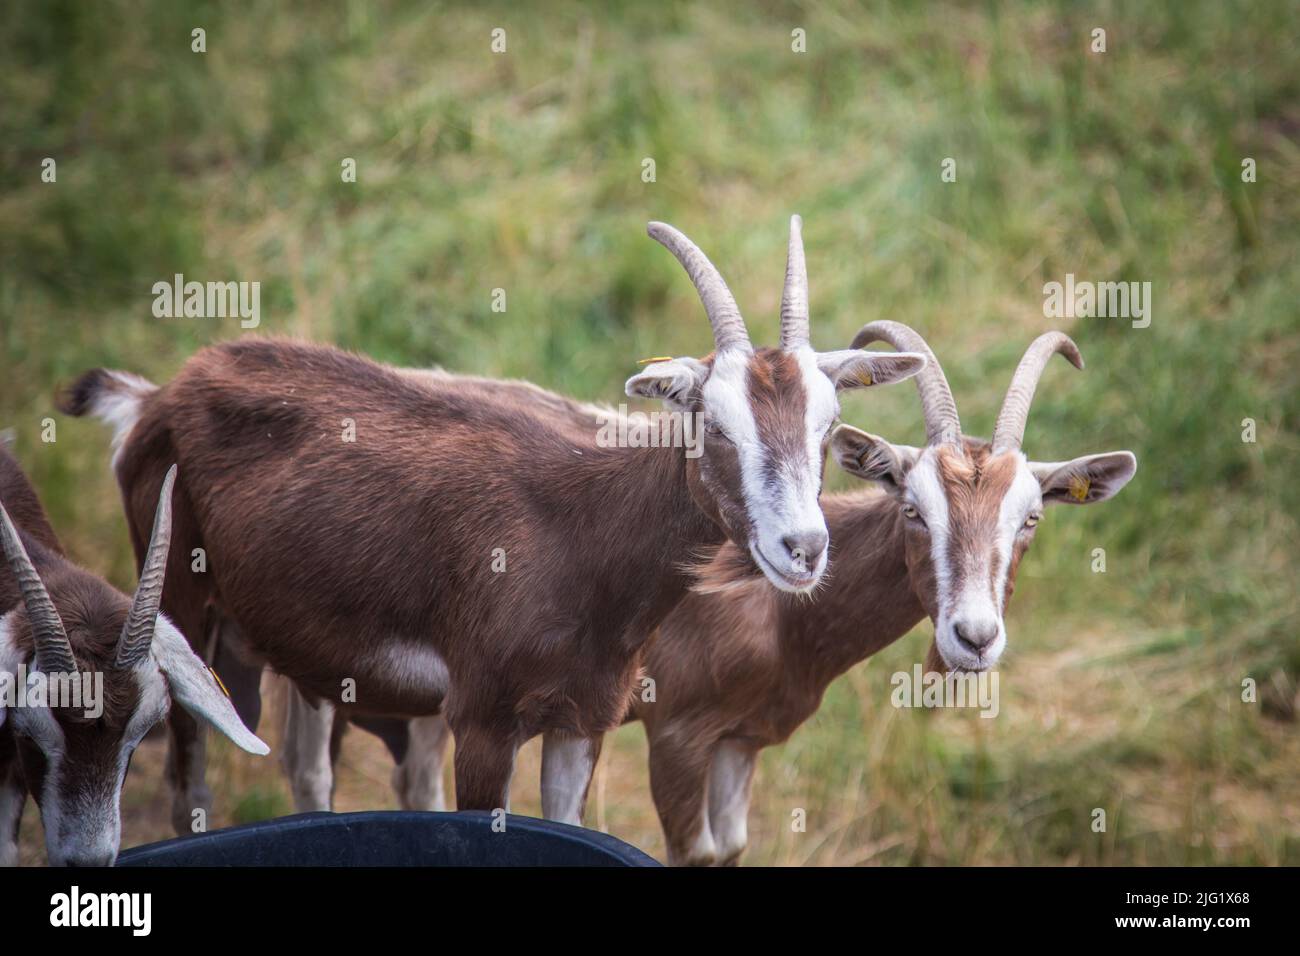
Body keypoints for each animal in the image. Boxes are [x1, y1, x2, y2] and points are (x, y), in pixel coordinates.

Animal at [62, 218, 926, 825]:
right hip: (184, 608)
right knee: (190, 782)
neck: (580, 529)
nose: (802, 549)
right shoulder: (481, 723)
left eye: (827, 426)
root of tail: (159, 397)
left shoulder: (583, 725)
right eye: (713, 423)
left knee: (308, 771)